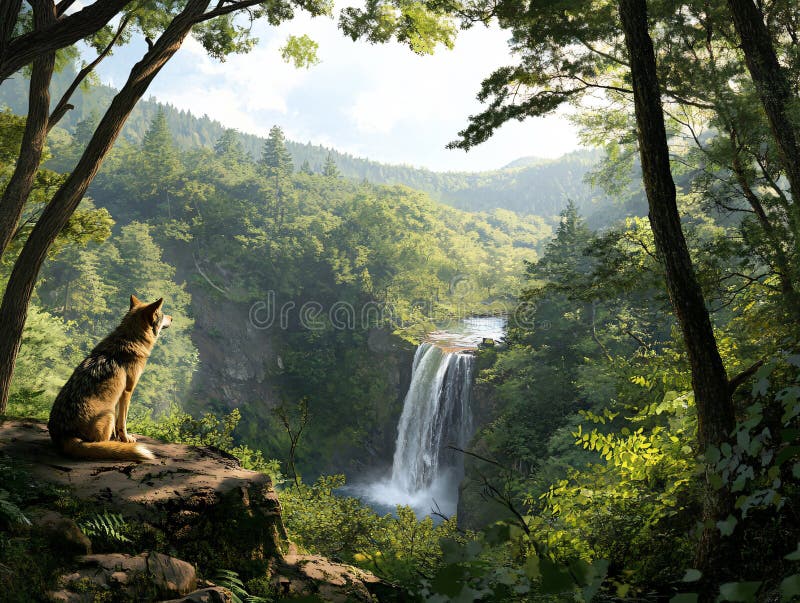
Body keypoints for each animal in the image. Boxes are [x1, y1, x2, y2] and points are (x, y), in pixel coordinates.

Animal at [48, 295, 172, 461]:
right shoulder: (127, 392)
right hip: (108, 413)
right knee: (99, 442)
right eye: (163, 314)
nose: (172, 318)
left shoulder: (119, 395)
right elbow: (123, 422)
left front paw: (118, 438)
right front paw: (125, 439)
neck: (130, 339)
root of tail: (63, 436)